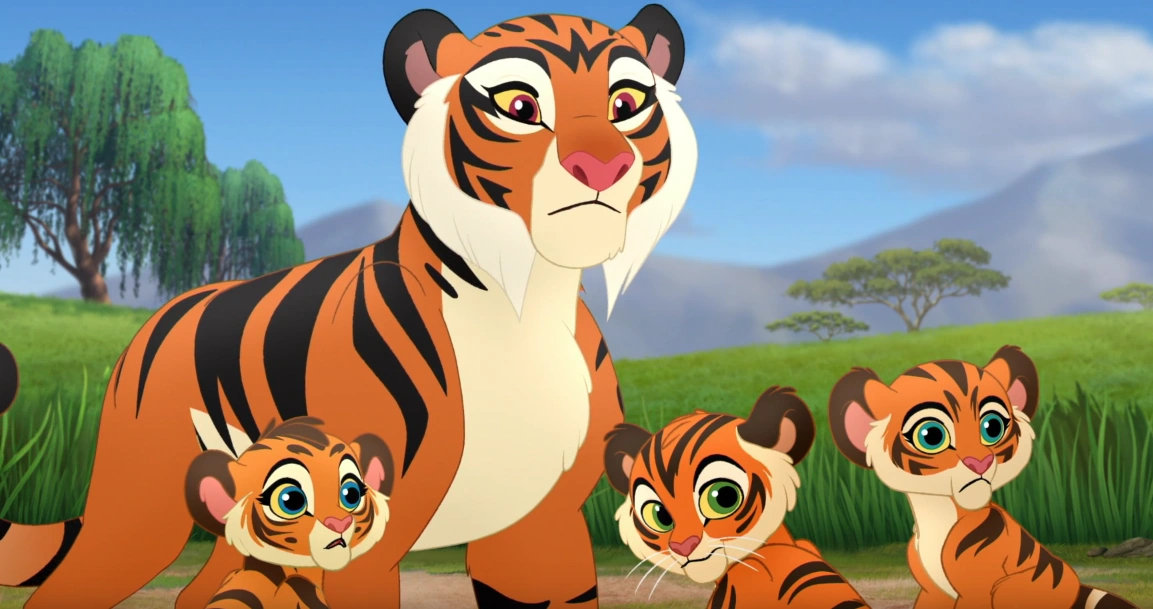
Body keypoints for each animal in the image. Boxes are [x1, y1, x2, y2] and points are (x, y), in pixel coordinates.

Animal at [826, 345, 1136, 609]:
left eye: (992, 427)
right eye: (931, 435)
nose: (980, 462)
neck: (936, 513)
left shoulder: (978, 588)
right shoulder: (933, 592)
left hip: (1011, 588)